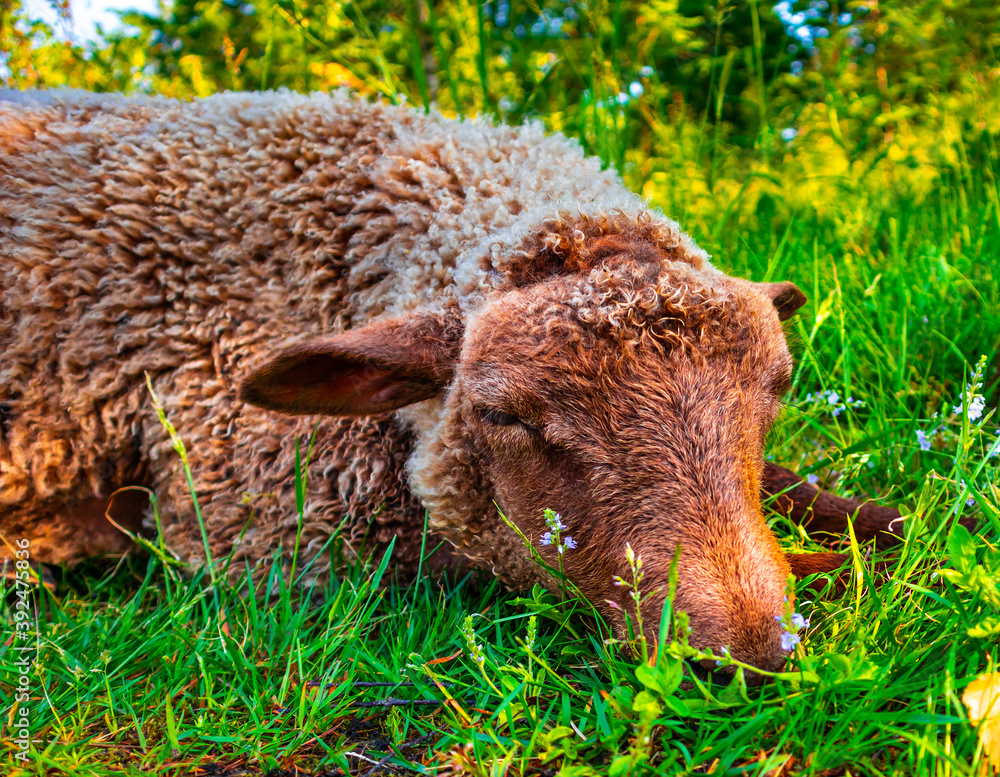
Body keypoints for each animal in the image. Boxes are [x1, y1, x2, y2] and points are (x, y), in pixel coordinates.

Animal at [0, 89, 902, 676]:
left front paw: (883, 526)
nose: (748, 654)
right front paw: (843, 568)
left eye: (778, 386)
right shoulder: (271, 526)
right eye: (501, 414)